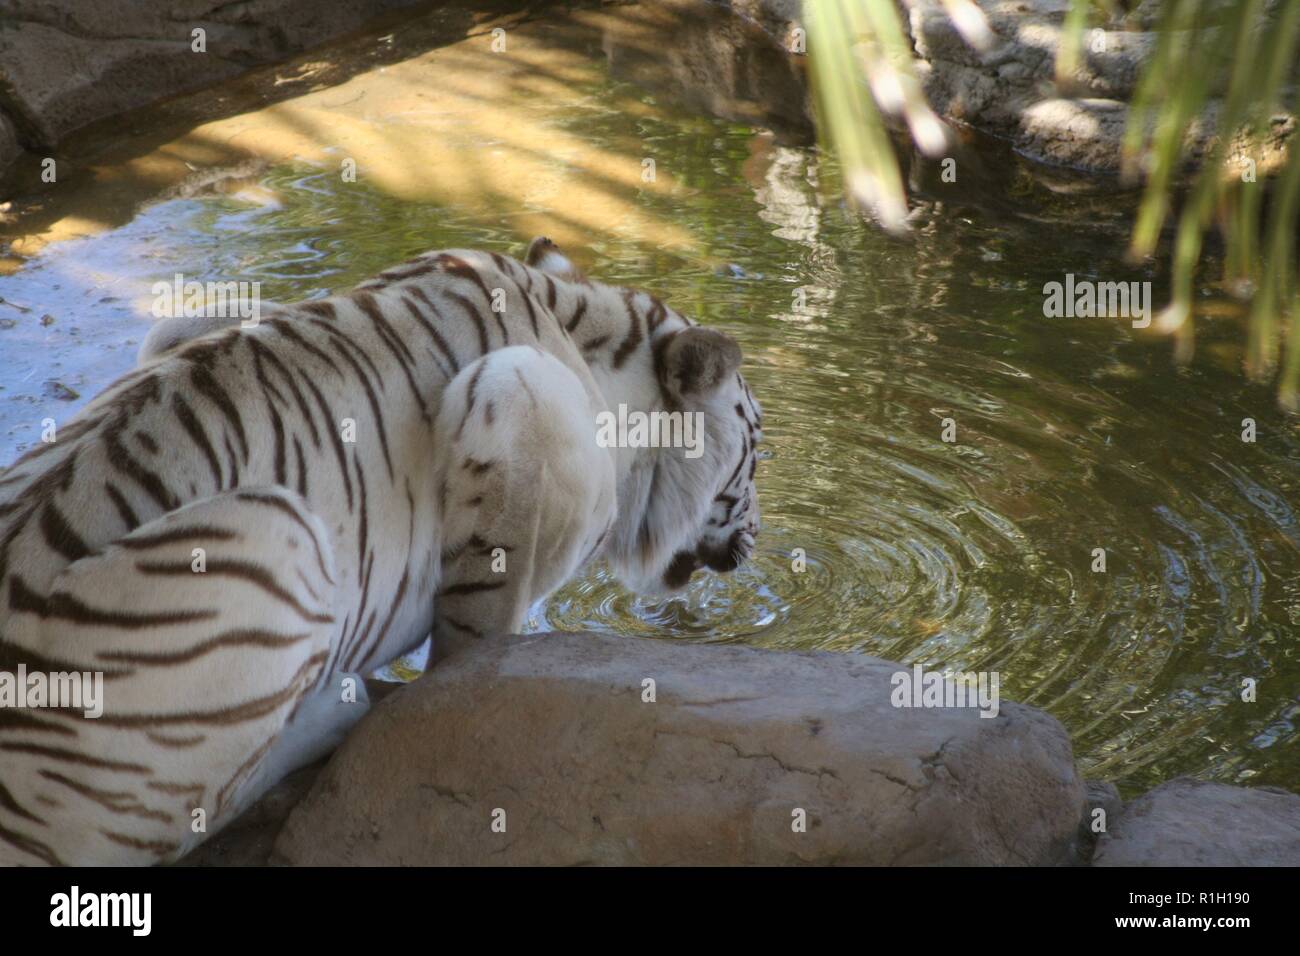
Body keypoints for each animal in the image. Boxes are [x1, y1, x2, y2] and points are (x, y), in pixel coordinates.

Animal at [0, 237, 763, 866]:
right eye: (756, 452)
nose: (755, 543)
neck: (584, 332)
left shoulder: (192, 324)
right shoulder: (518, 397)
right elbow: (479, 636)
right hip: (273, 534)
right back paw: (330, 711)